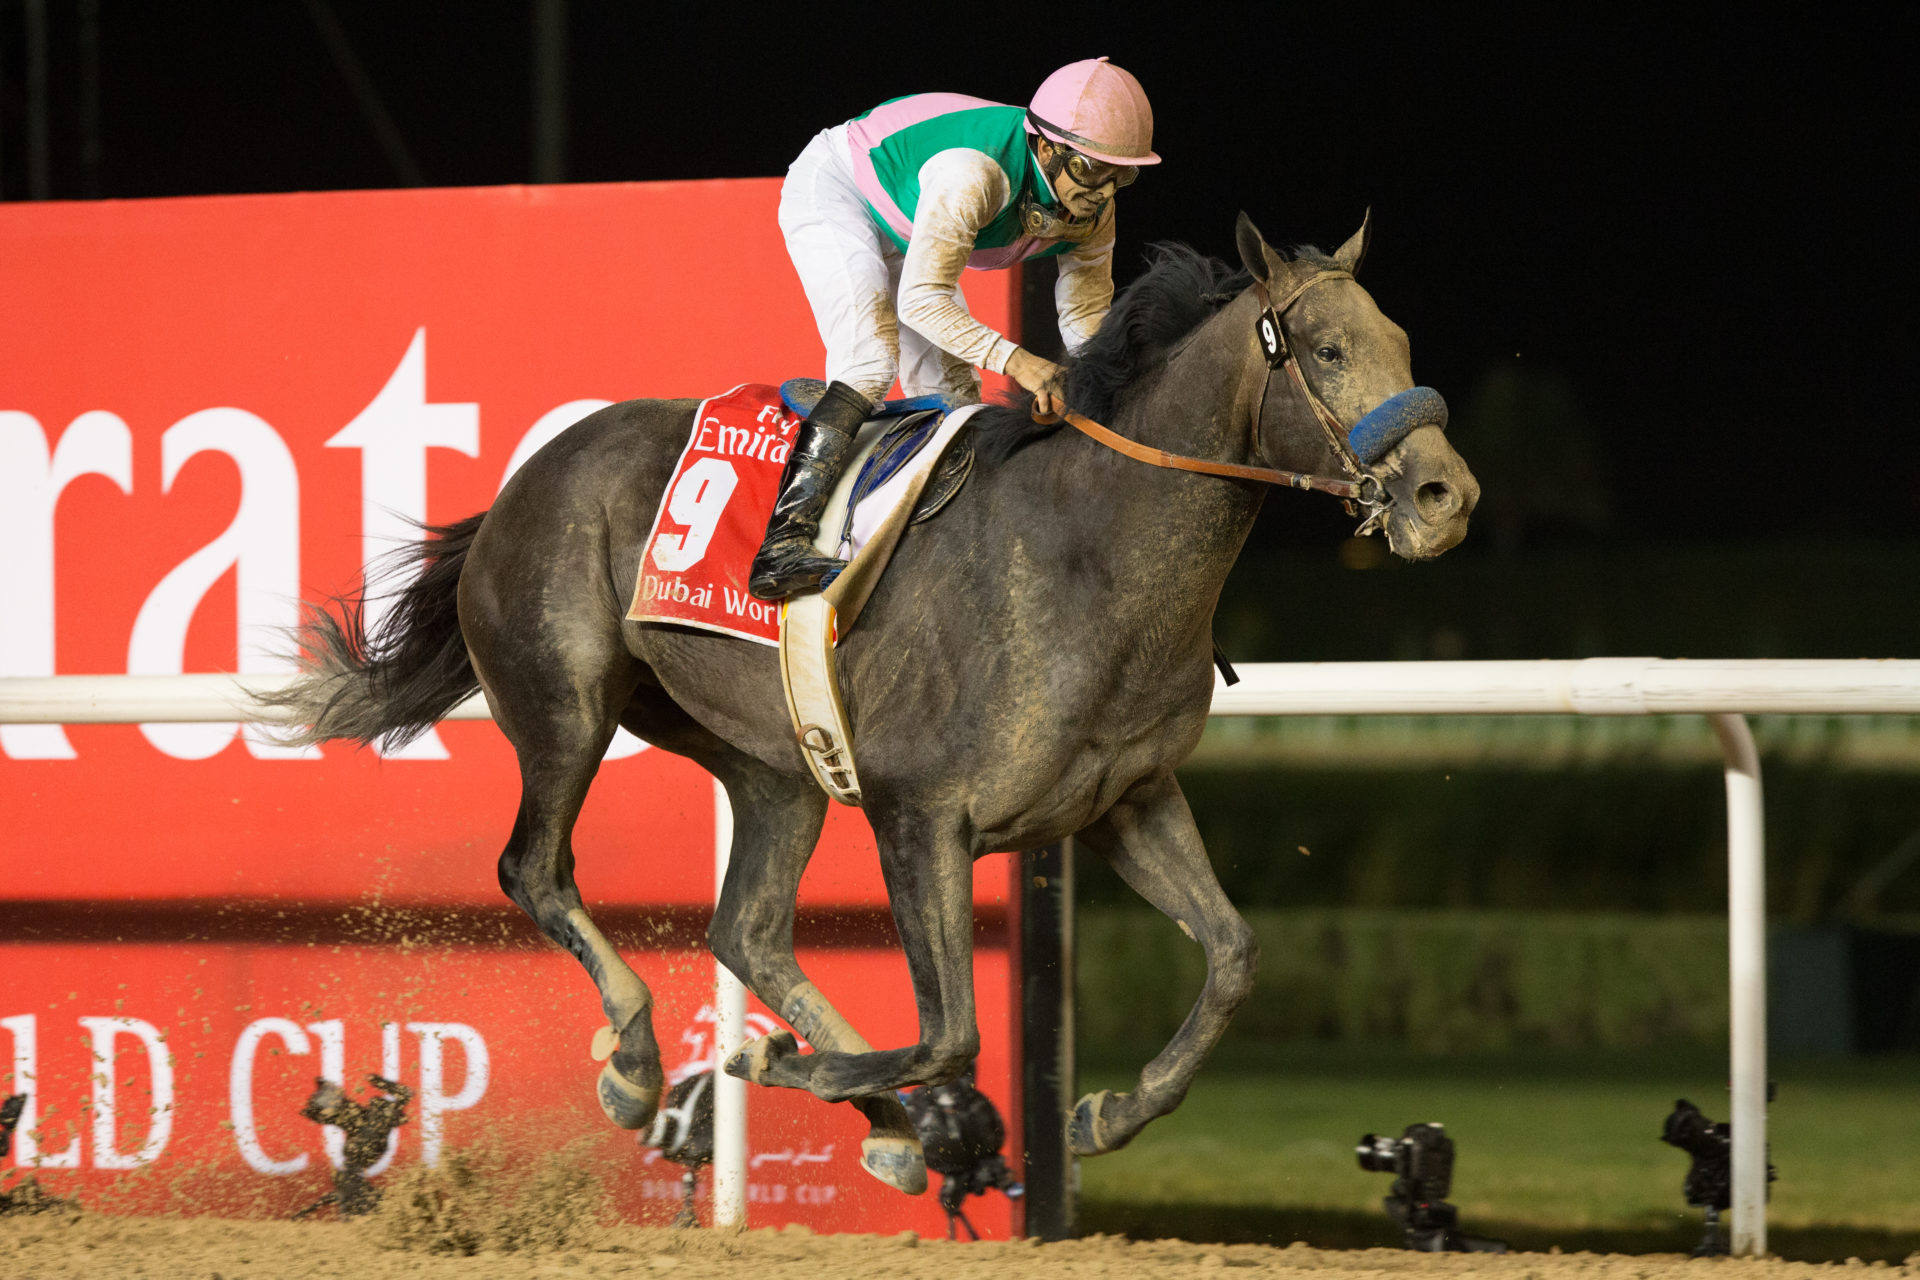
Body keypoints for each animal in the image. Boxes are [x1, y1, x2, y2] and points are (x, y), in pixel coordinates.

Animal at [262, 213, 1479, 1195]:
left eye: (1403, 343)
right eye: (1328, 349)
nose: (1445, 495)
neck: (1089, 551)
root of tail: (522, 480)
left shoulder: (1125, 798)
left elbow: (1233, 956)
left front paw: (1107, 1111)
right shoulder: (919, 810)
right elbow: (954, 1034)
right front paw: (769, 1061)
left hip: (773, 763)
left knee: (747, 928)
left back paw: (876, 1123)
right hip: (568, 701)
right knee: (536, 867)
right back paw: (643, 1065)